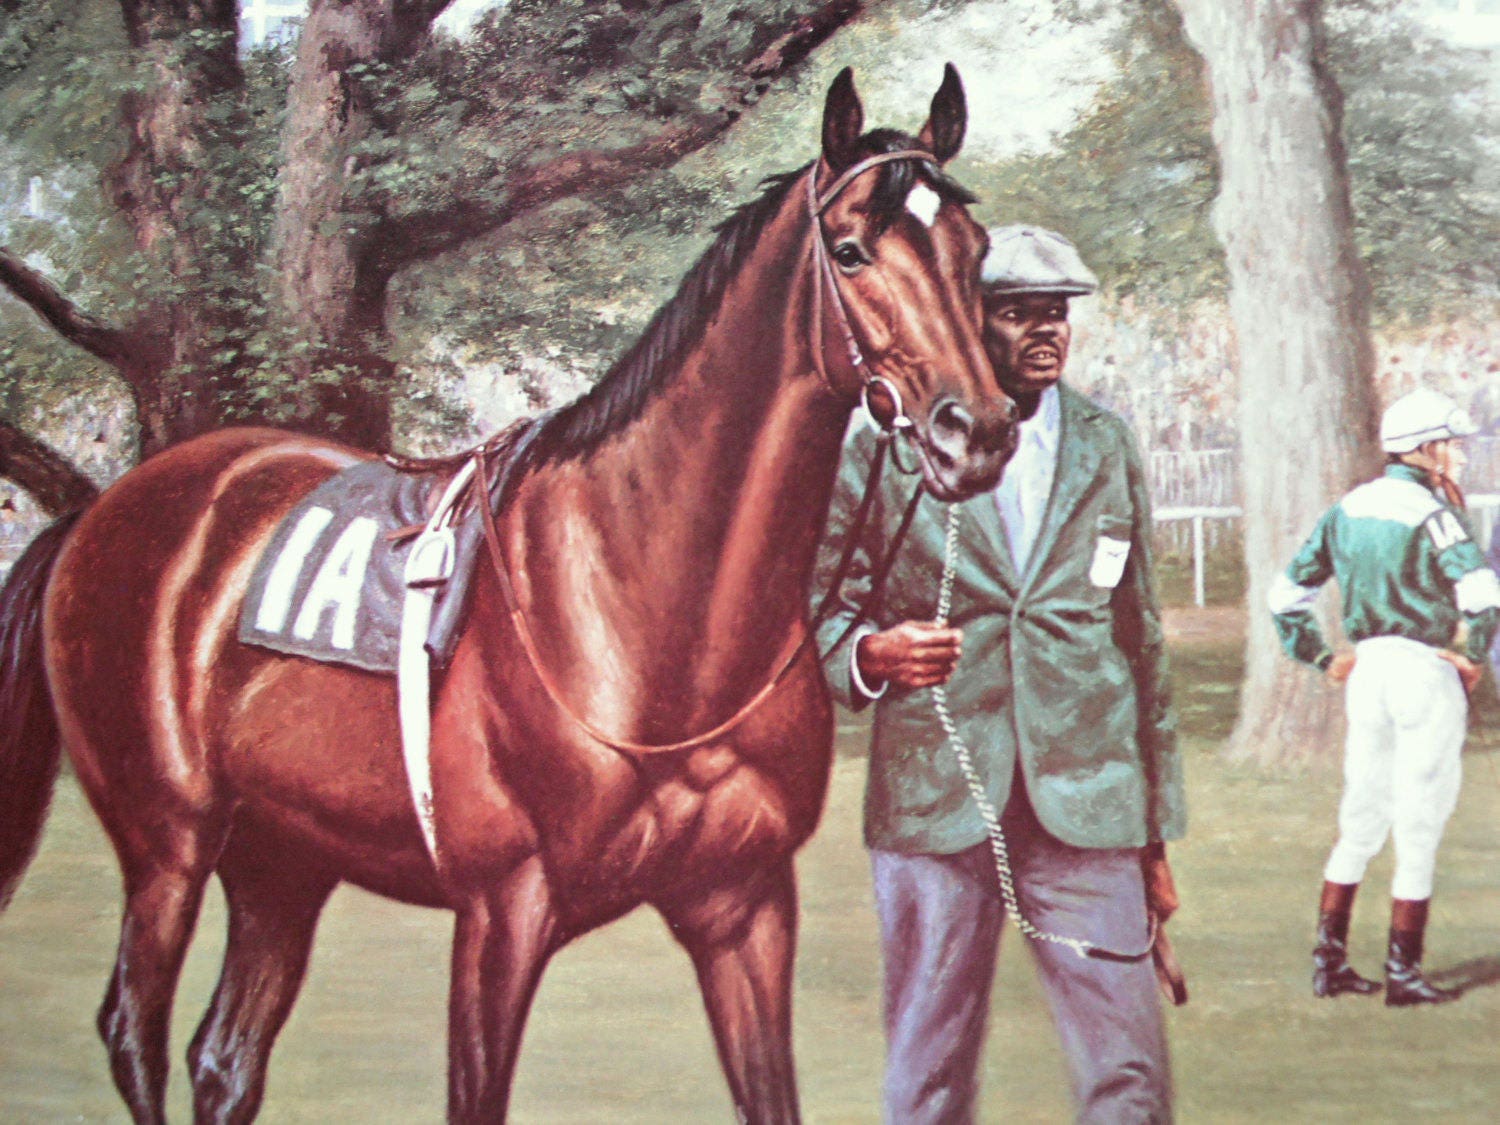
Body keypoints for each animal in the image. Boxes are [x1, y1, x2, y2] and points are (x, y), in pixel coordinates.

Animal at [0, 65, 1014, 1123]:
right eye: (852, 250)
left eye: (974, 250)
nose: (977, 430)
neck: (646, 602)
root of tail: (107, 508)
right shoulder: (502, 911)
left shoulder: (744, 905)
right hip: (167, 843)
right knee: (133, 1031)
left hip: (281, 863)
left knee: (224, 1059)